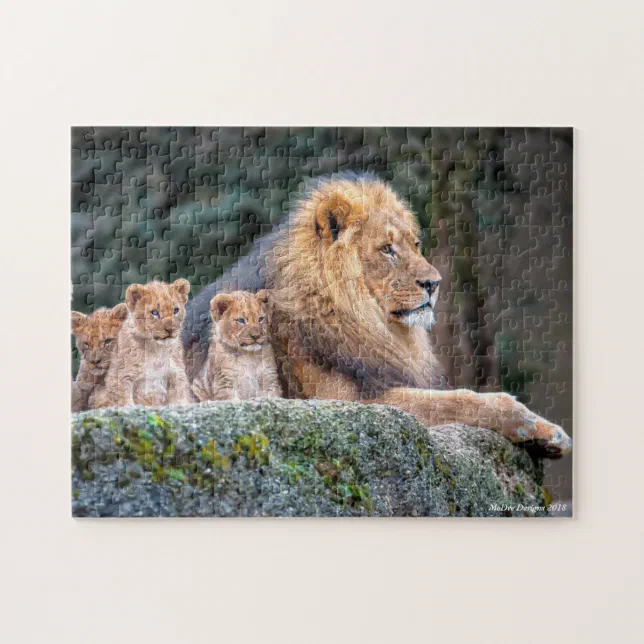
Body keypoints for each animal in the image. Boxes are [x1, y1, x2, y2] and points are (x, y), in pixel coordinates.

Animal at [94, 279, 192, 408]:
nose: (171, 329)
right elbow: (125, 402)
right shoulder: (120, 377)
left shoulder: (176, 374)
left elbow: (181, 398)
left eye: (175, 310)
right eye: (154, 312)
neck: (157, 349)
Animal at [184, 174, 572, 458]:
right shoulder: (347, 402)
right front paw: (530, 422)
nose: (434, 283)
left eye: (415, 245)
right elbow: (459, 400)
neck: (366, 321)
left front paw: (547, 433)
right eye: (387, 250)